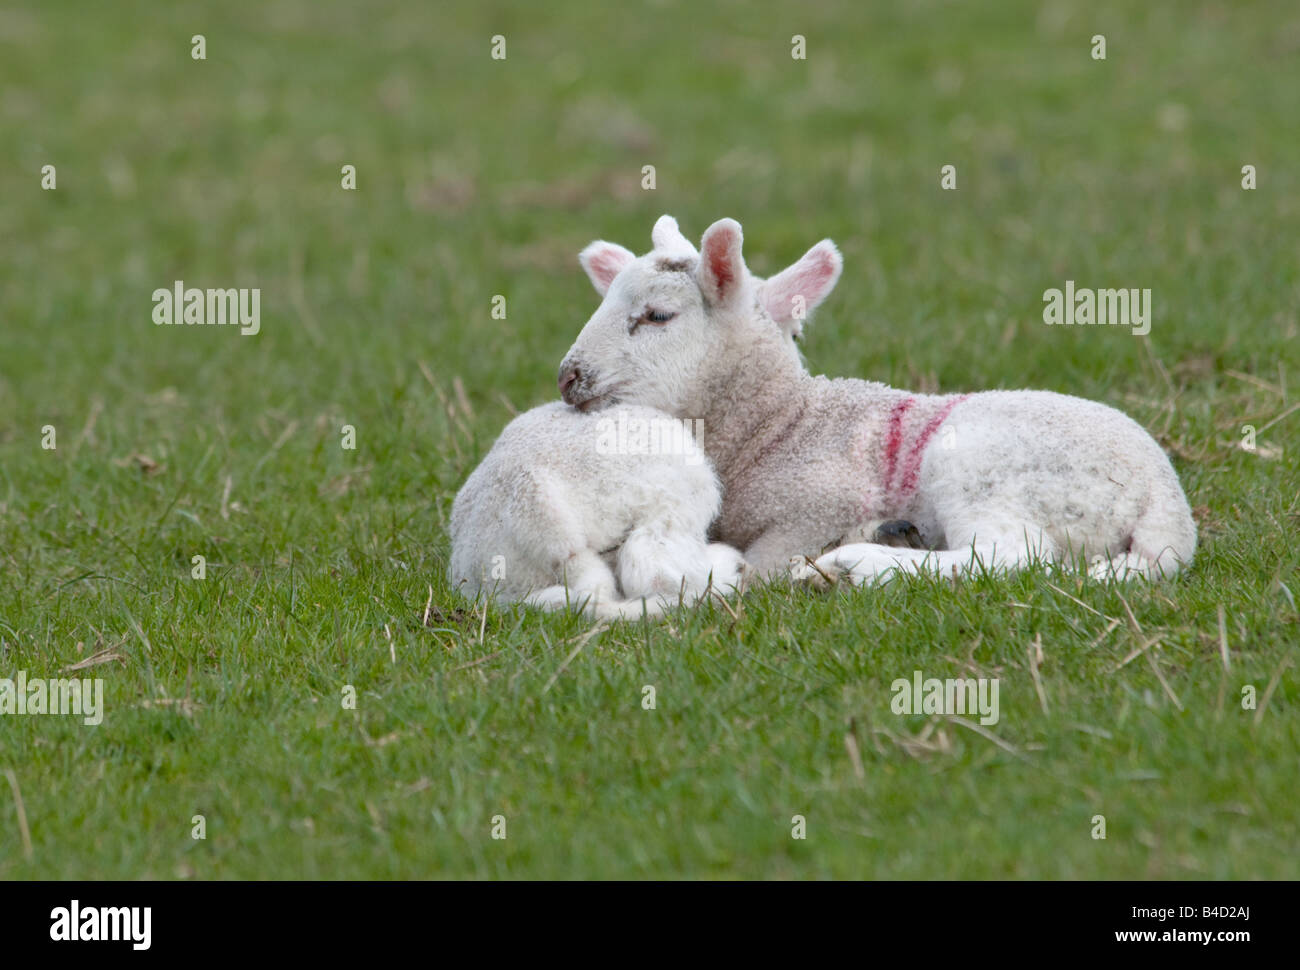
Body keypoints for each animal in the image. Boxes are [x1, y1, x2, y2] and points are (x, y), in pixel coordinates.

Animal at [555, 215, 1197, 588]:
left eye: (657, 316)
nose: (567, 377)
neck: (778, 425)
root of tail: (1167, 505)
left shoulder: (815, 506)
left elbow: (760, 568)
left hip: (986, 471)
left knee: (1012, 556)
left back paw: (858, 563)